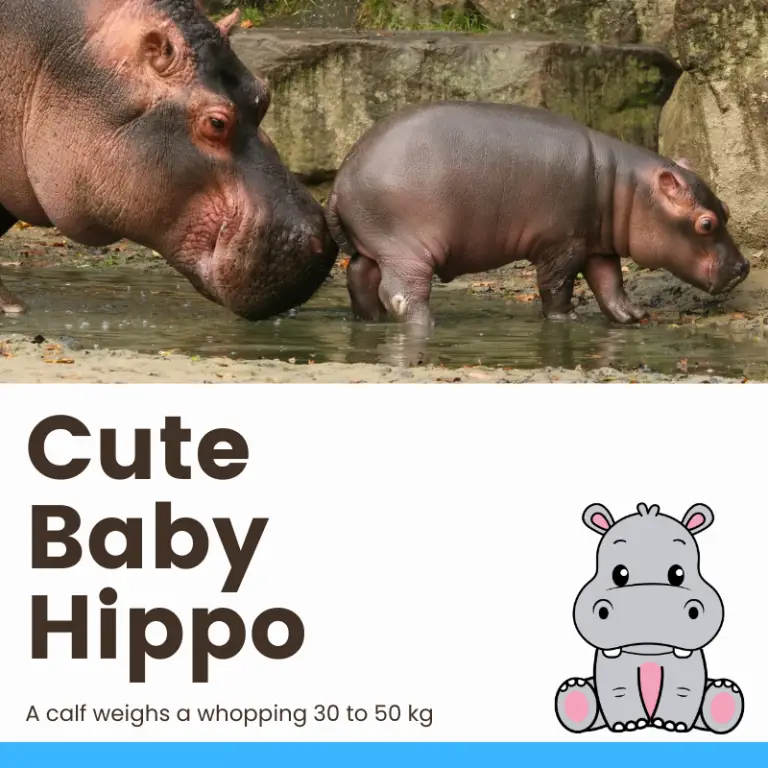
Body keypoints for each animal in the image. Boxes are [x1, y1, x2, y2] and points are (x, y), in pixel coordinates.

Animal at [325, 102, 749, 328]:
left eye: (727, 209)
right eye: (706, 223)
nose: (743, 267)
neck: (627, 186)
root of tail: (339, 179)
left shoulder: (595, 244)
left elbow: (610, 283)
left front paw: (632, 316)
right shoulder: (562, 245)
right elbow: (557, 285)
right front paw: (566, 319)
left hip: (374, 244)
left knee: (359, 276)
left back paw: (372, 320)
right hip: (405, 248)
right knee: (401, 291)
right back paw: (425, 323)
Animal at [555, 502, 743, 735]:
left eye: (678, 574)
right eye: (619, 573)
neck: (649, 649)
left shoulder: (689, 669)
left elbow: (683, 691)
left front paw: (673, 725)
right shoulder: (612, 671)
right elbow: (619, 691)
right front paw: (627, 725)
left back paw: (724, 697)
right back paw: (574, 695)